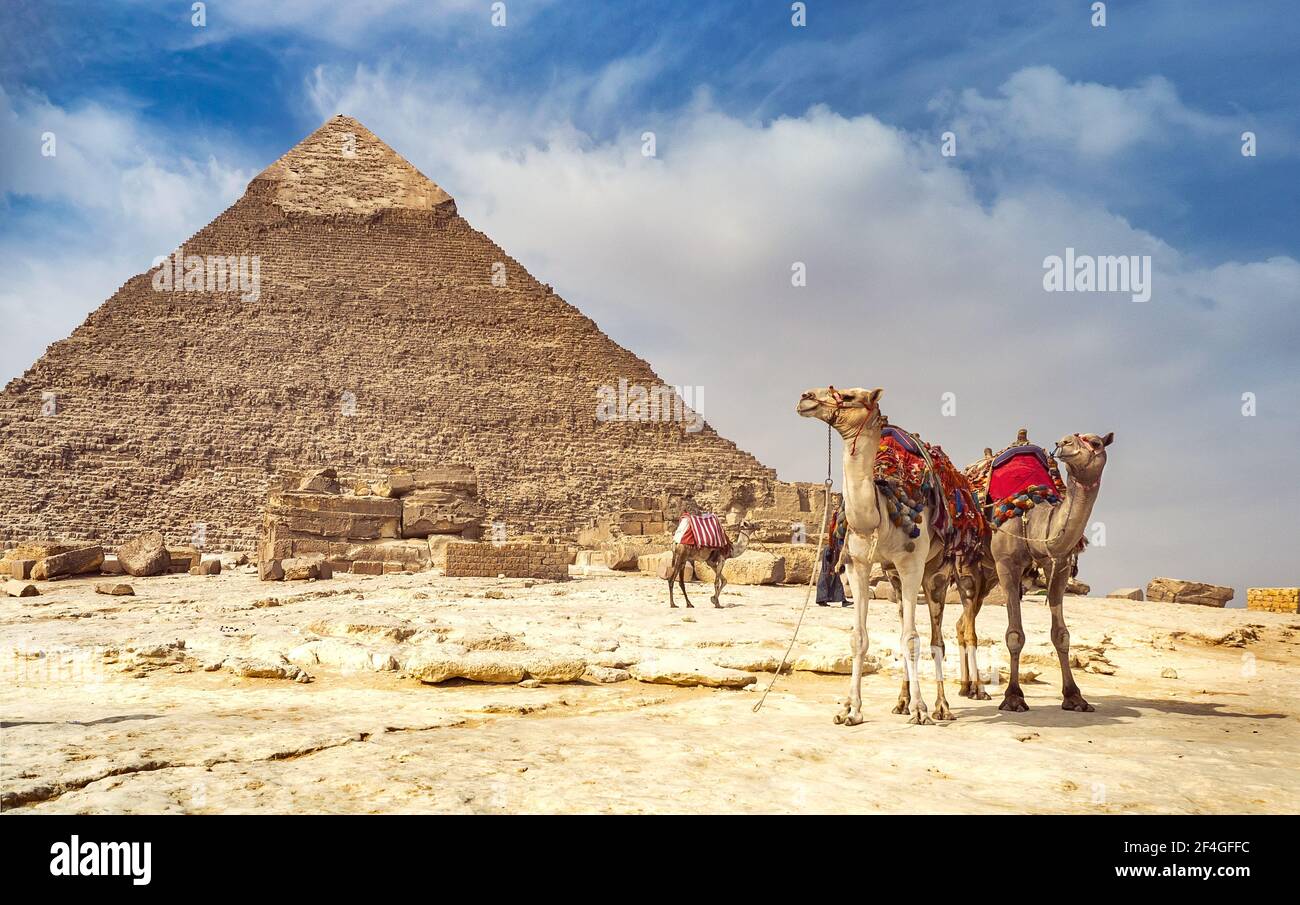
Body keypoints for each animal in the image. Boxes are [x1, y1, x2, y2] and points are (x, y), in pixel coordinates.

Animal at [796, 386, 957, 726]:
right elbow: (859, 638)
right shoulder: (857, 564)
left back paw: (941, 706)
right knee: (903, 621)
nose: (806, 397)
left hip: (936, 571)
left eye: (848, 397)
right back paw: (901, 701)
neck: (880, 514)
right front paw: (850, 709)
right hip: (894, 577)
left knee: (936, 639)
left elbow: (912, 640)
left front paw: (921, 709)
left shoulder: (912, 566)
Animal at [954, 430, 1113, 711]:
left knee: (962, 623)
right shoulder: (1007, 564)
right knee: (968, 624)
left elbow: (1061, 635)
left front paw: (1074, 697)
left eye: (1095, 442)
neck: (1034, 517)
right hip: (968, 566)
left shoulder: (1058, 565)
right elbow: (1014, 634)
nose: (1064, 443)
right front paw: (1014, 697)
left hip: (987, 577)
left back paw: (967, 687)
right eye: (1068, 438)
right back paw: (978, 690)